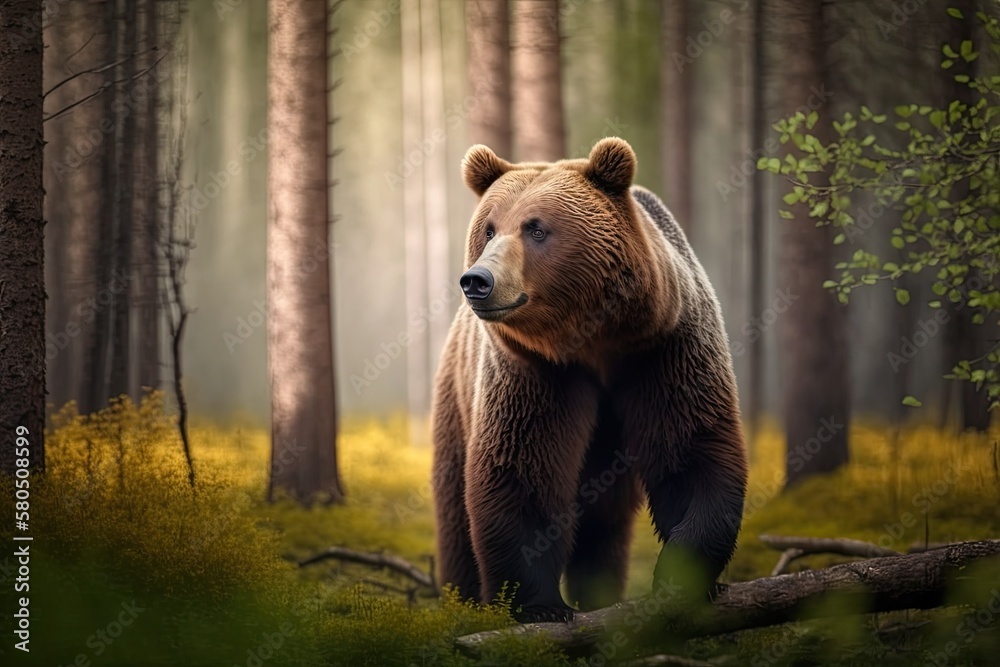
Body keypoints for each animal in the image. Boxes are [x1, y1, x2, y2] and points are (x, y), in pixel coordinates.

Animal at [431, 137, 748, 623]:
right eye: (488, 229)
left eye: (536, 229)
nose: (477, 280)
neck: (593, 342)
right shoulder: (535, 373)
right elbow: (522, 468)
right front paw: (540, 605)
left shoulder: (663, 350)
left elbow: (693, 450)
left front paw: (680, 580)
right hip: (457, 402)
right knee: (456, 518)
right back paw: (463, 603)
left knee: (605, 525)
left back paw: (600, 592)